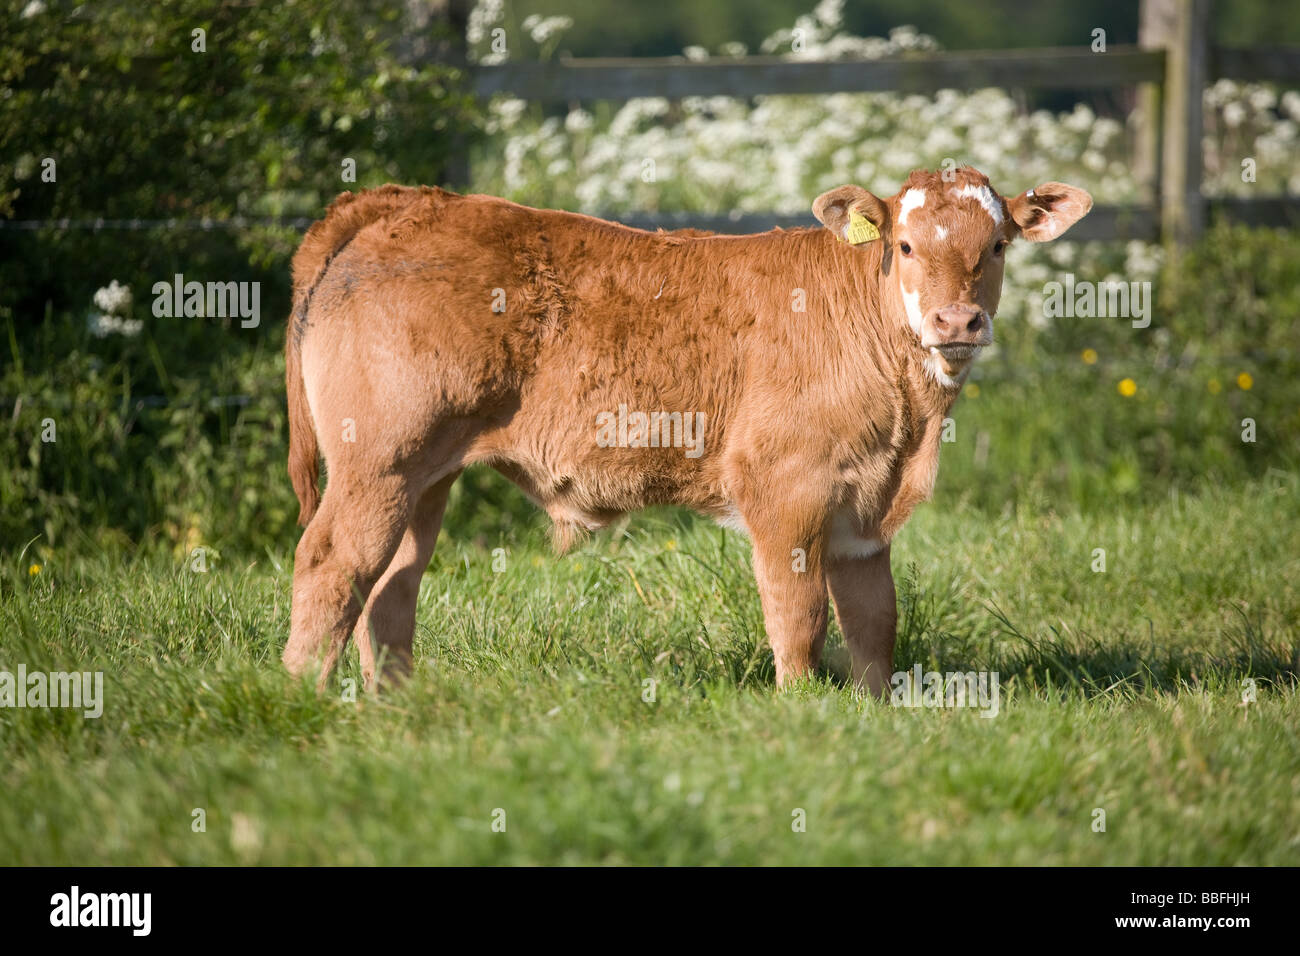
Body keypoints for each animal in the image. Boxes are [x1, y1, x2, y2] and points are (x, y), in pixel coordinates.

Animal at [282, 167, 1092, 694]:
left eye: (997, 246)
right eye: (906, 246)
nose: (956, 320)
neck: (909, 427)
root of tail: (403, 201)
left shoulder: (864, 510)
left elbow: (874, 625)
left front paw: (870, 717)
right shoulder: (785, 489)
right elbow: (799, 618)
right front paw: (803, 714)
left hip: (425, 474)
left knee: (391, 585)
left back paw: (394, 708)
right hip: (379, 460)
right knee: (332, 564)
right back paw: (301, 698)